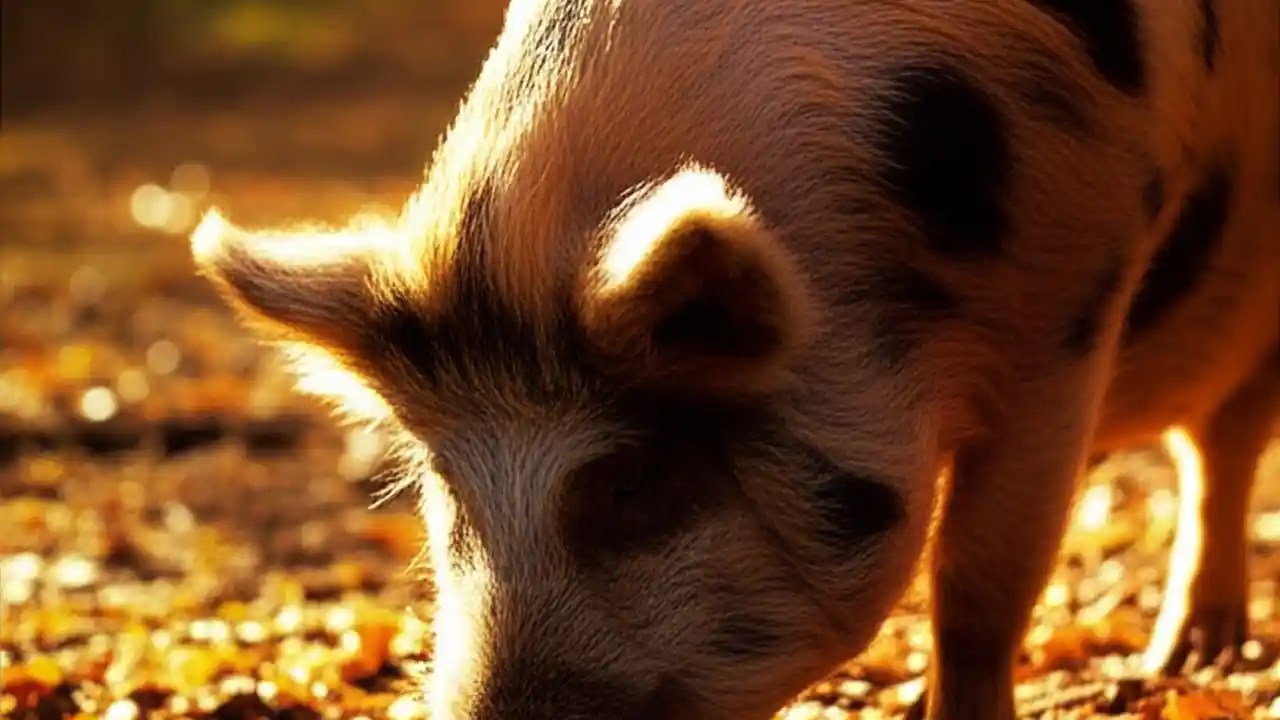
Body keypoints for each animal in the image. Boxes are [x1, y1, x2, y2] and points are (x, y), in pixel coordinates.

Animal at [190, 0, 1280, 718]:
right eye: (445, 491)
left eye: (633, 484)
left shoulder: (1063, 313)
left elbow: (978, 583)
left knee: (1221, 449)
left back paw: (1193, 655)